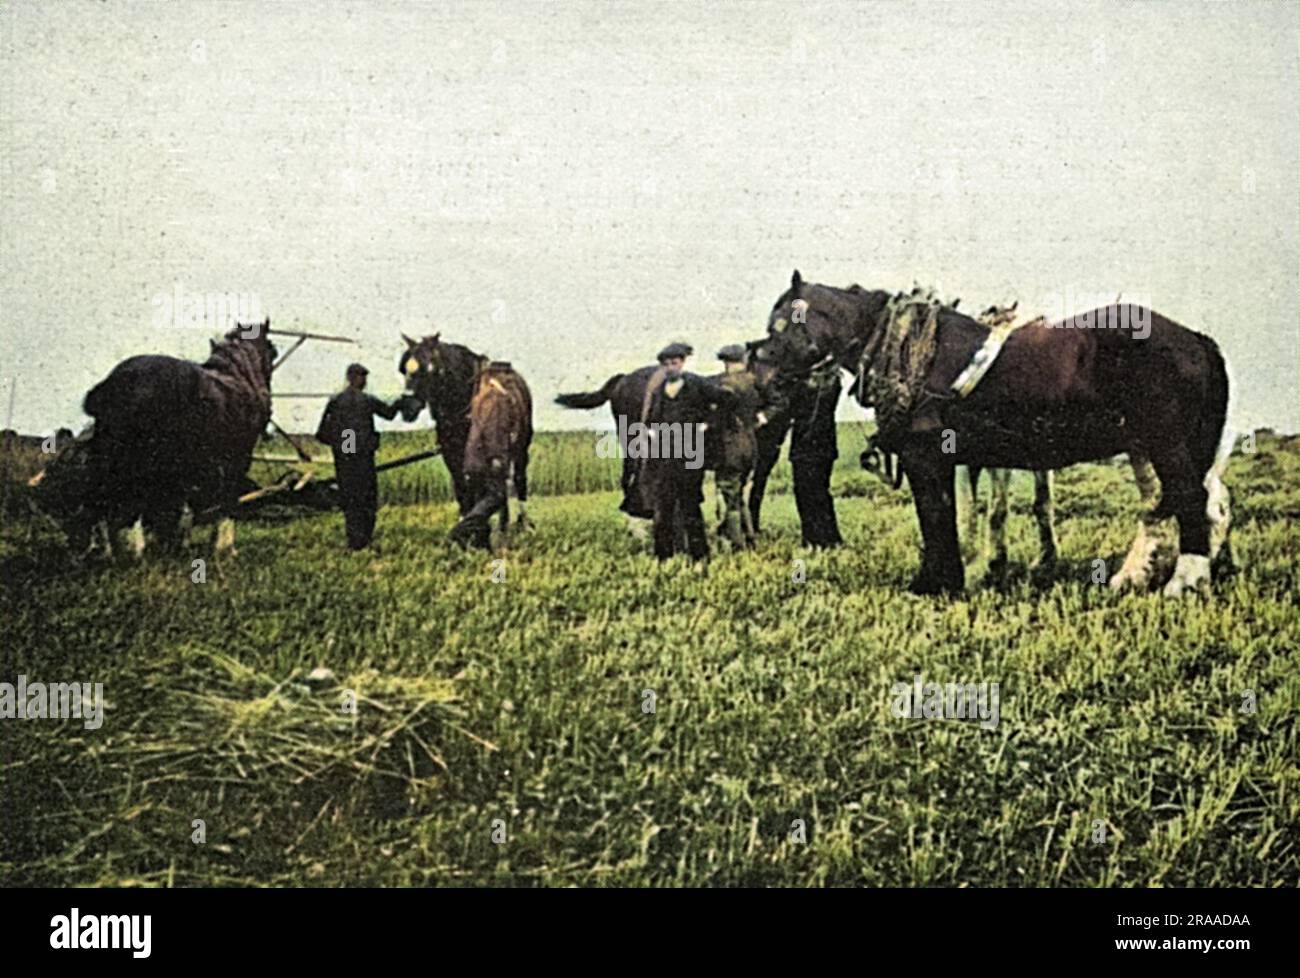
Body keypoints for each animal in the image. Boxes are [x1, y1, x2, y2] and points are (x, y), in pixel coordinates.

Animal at [51, 321, 276, 555]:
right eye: (273, 350)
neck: (237, 375)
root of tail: (114, 382)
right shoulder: (238, 457)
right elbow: (227, 500)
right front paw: (225, 547)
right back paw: (136, 550)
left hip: (107, 456)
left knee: (101, 499)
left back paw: (107, 550)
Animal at [399, 334, 532, 546]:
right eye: (405, 368)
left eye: (431, 369)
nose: (407, 407)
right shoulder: (451, 456)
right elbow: (462, 490)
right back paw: (502, 527)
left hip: (521, 450)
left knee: (519, 480)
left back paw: (521, 525)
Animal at [763, 271, 1232, 596]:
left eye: (779, 325)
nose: (765, 376)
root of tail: (1196, 339)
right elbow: (953, 515)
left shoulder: (924, 456)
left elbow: (935, 516)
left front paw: (936, 583)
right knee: (1189, 503)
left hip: (1167, 444)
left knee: (1190, 499)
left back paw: (1183, 581)